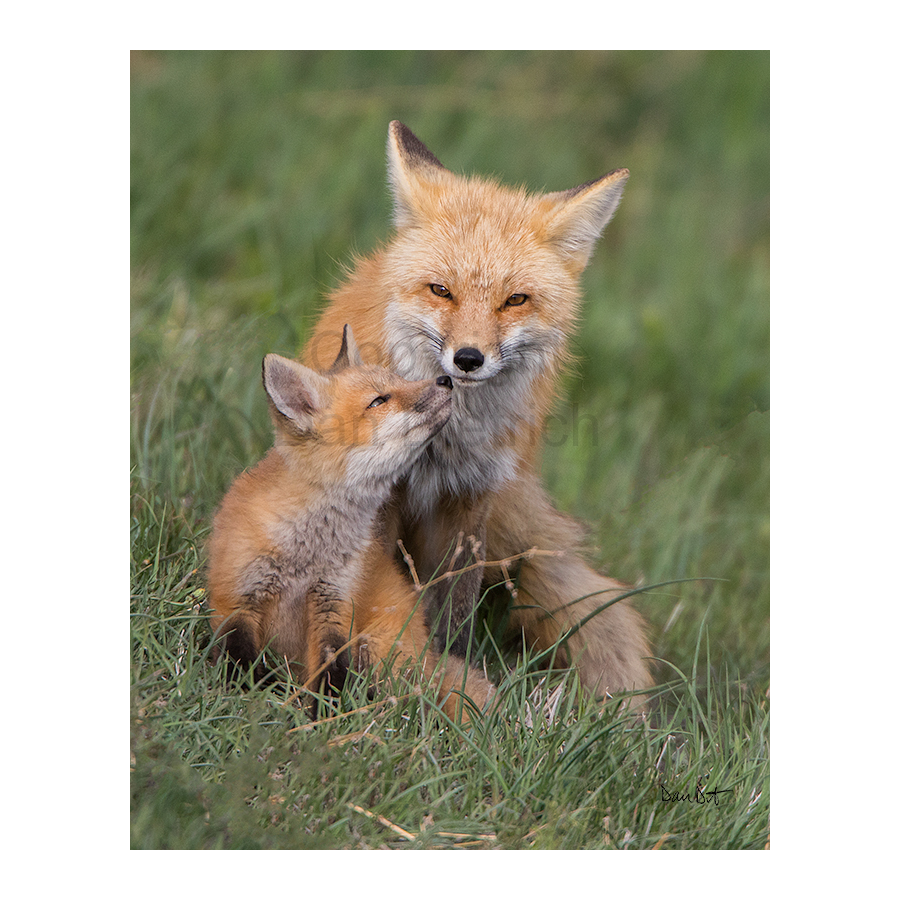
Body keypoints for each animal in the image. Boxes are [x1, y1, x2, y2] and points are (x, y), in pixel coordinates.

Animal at [207, 324, 494, 720]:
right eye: (378, 401)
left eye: (400, 379)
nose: (446, 380)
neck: (307, 555)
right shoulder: (236, 599)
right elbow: (240, 663)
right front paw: (253, 701)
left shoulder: (335, 607)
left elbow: (332, 675)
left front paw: (324, 720)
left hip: (379, 651)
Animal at [303, 121, 651, 706]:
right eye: (441, 290)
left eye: (515, 300)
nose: (468, 358)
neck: (444, 441)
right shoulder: (380, 500)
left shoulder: (469, 501)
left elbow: (455, 616)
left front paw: (450, 675)